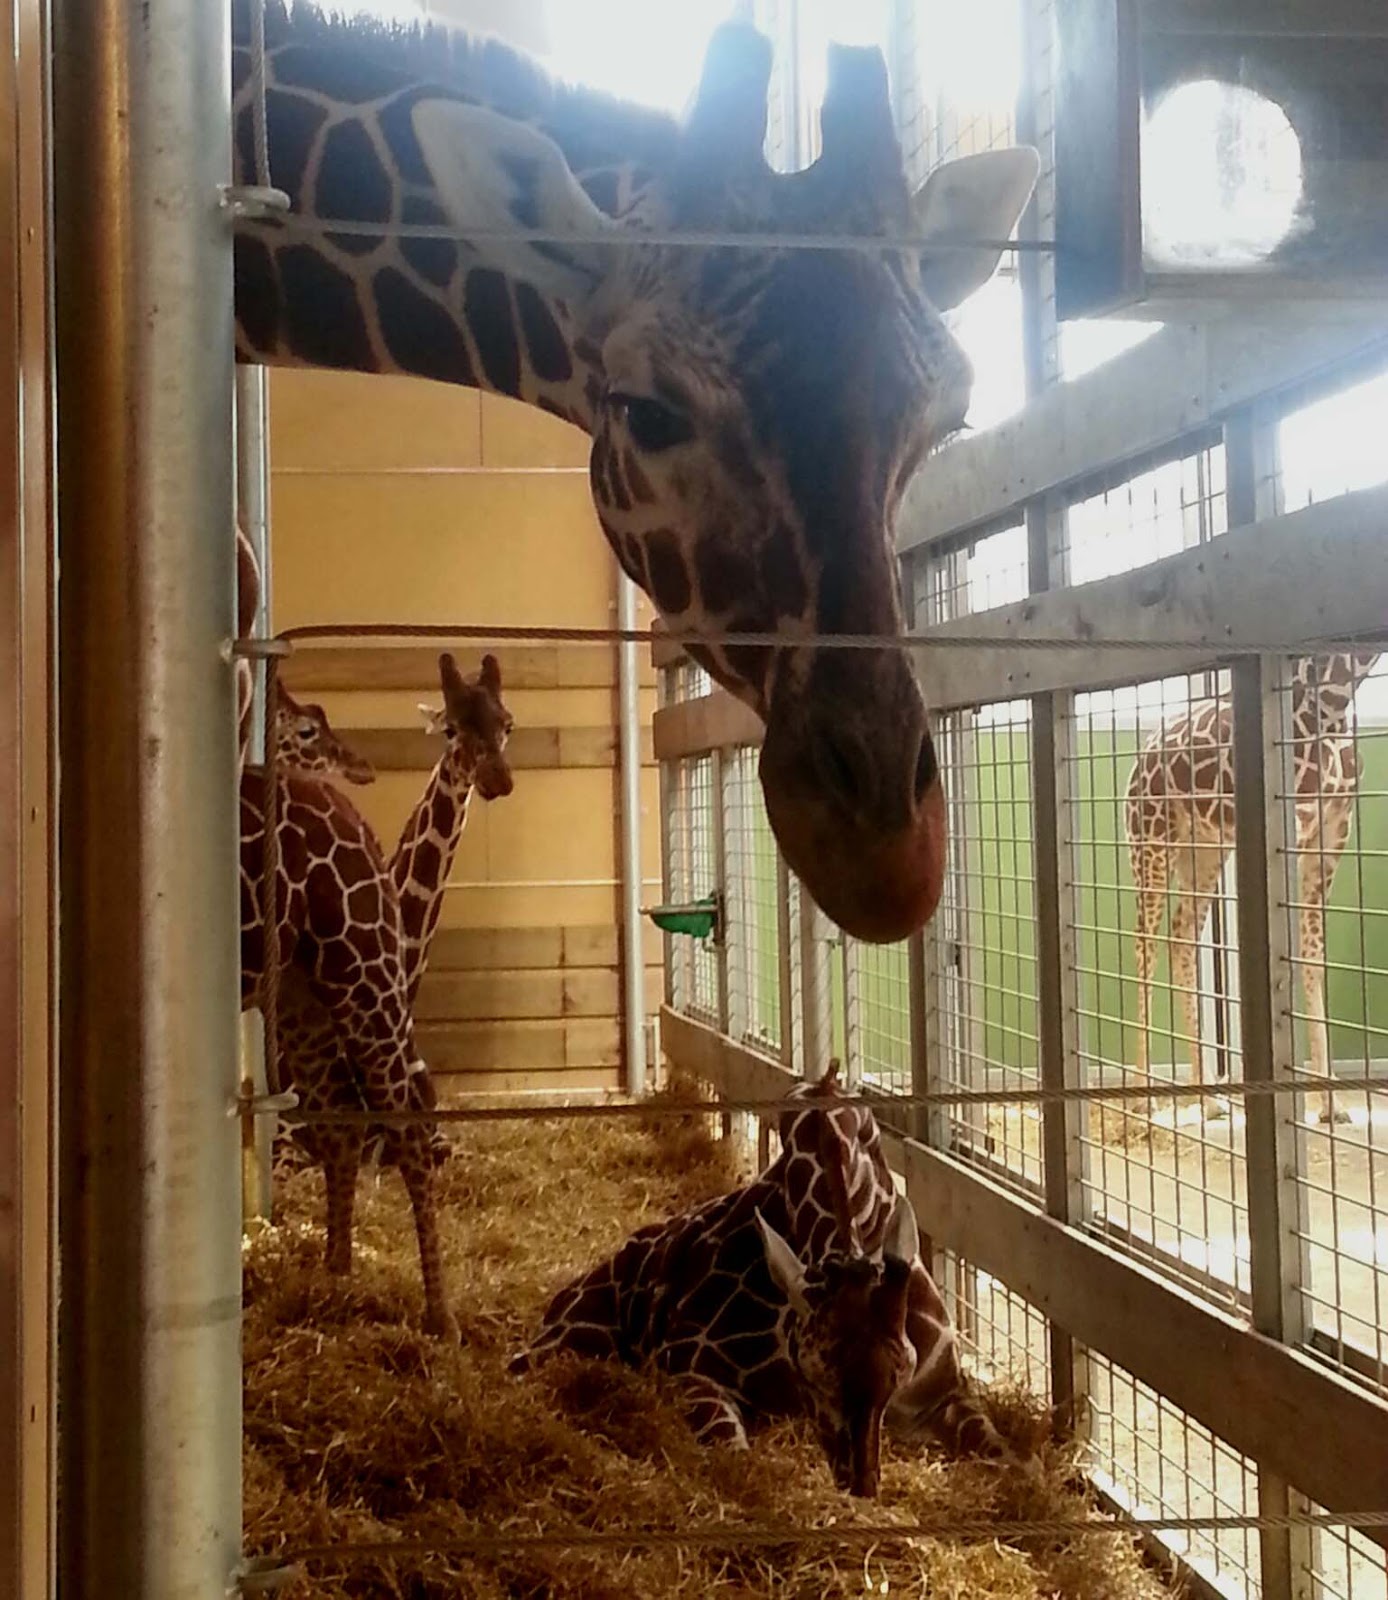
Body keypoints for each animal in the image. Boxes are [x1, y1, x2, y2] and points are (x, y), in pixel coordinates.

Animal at [513, 1063, 1024, 1496]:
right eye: (811, 1375)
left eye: (900, 1370)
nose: (861, 1483)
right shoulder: (689, 1368)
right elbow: (733, 1453)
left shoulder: (942, 1392)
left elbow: (1010, 1457)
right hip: (567, 1340)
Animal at [1125, 652, 1381, 1125]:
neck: (1334, 698)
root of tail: (1143, 752)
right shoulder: (1292, 820)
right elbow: (1286, 955)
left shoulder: (1334, 828)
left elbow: (1313, 956)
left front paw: (1330, 1103)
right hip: (1150, 835)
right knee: (1144, 942)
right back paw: (1139, 1094)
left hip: (1206, 847)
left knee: (1181, 933)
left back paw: (1208, 1097)